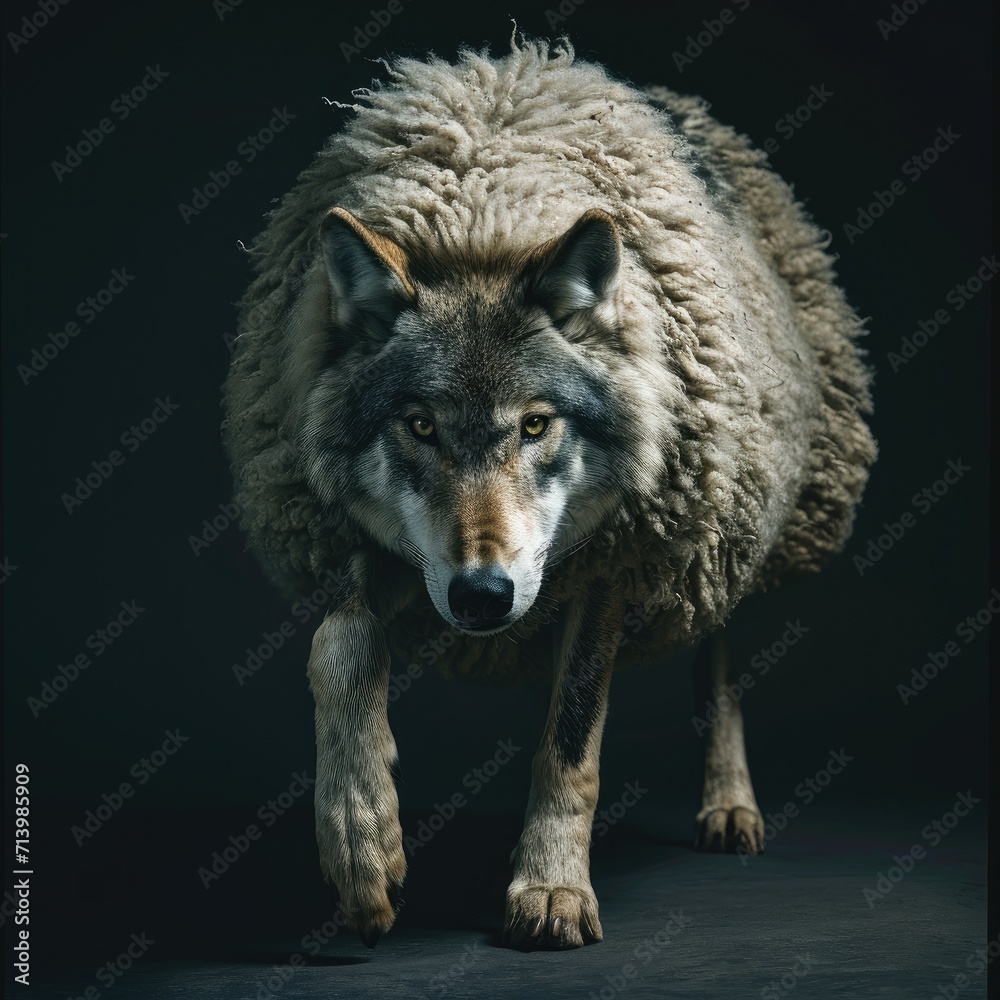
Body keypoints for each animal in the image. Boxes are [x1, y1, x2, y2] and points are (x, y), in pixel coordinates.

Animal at [222, 39, 876, 950]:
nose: (483, 596)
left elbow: (571, 741)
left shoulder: (613, 563)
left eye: (535, 425)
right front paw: (360, 844)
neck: (484, 215)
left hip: (722, 528)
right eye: (420, 427)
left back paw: (728, 807)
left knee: (715, 662)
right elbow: (336, 647)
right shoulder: (372, 549)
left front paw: (553, 891)